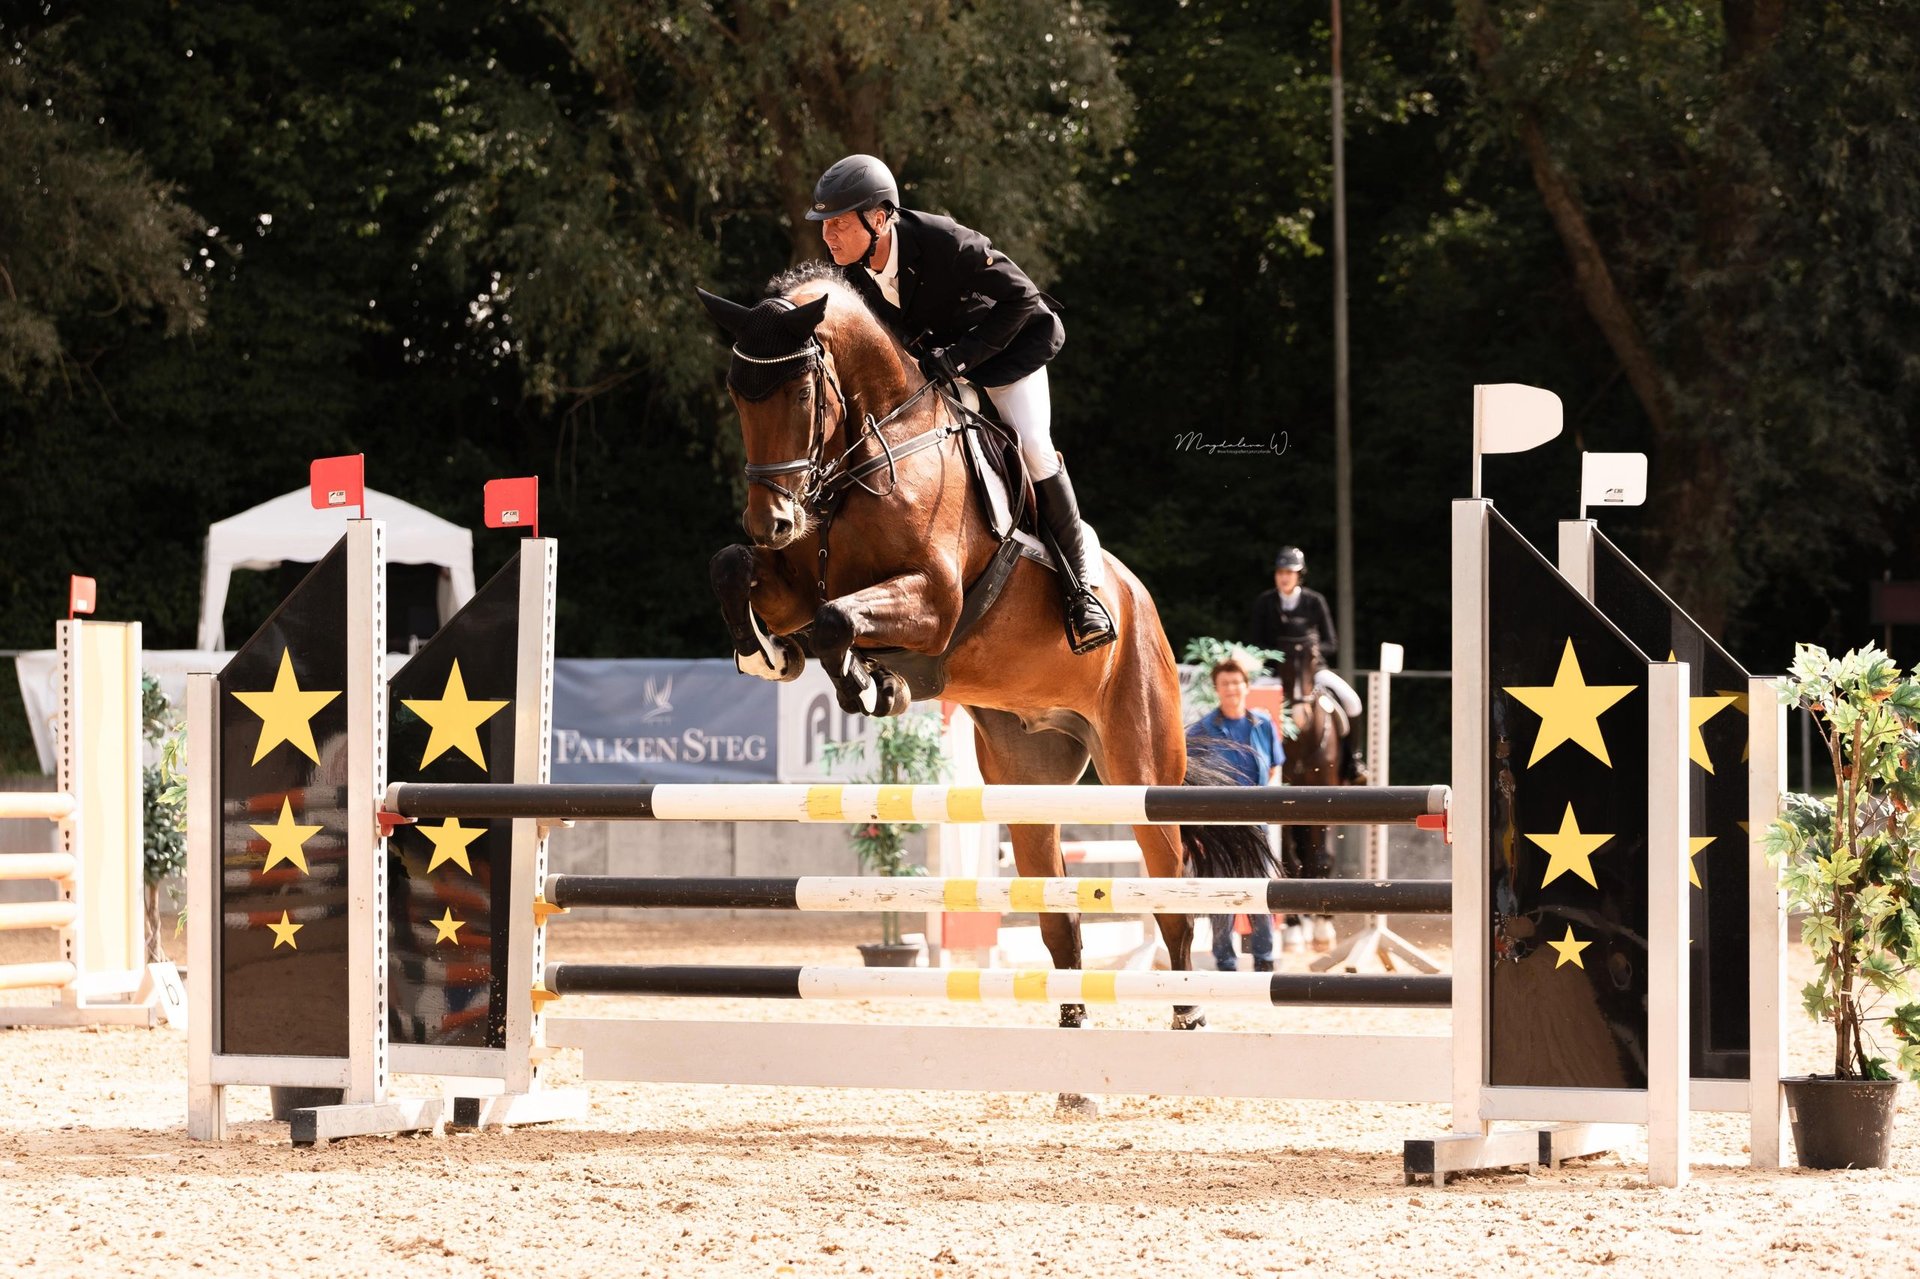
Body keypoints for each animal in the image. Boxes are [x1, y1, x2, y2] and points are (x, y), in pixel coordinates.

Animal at [697, 264, 1274, 1083]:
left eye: (802, 394)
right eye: (737, 394)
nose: (772, 520)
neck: (877, 450)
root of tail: (1142, 605)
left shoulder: (934, 601)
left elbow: (839, 621)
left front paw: (870, 682)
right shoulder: (798, 580)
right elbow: (740, 571)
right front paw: (770, 653)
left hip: (1138, 766)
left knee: (1171, 889)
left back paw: (1187, 1011)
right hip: (1026, 780)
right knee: (1059, 913)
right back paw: (1072, 1029)